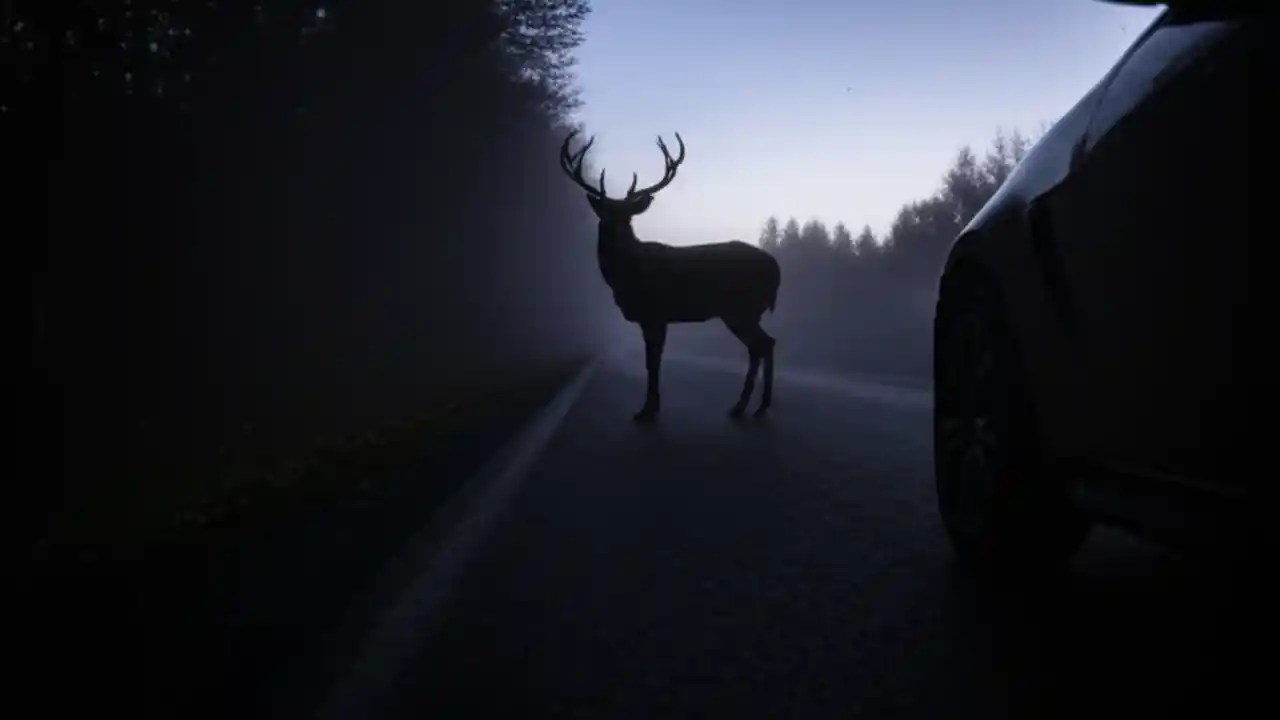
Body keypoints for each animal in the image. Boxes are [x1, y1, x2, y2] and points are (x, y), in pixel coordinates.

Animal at [558, 130, 781, 422]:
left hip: (742, 308)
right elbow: (651, 361)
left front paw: (647, 410)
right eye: (604, 214)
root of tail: (776, 268)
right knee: (762, 345)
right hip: (743, 312)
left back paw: (756, 407)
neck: (628, 274)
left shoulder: (655, 313)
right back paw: (745, 407)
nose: (614, 232)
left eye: (627, 217)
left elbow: (653, 362)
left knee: (764, 344)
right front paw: (651, 407)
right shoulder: (652, 318)